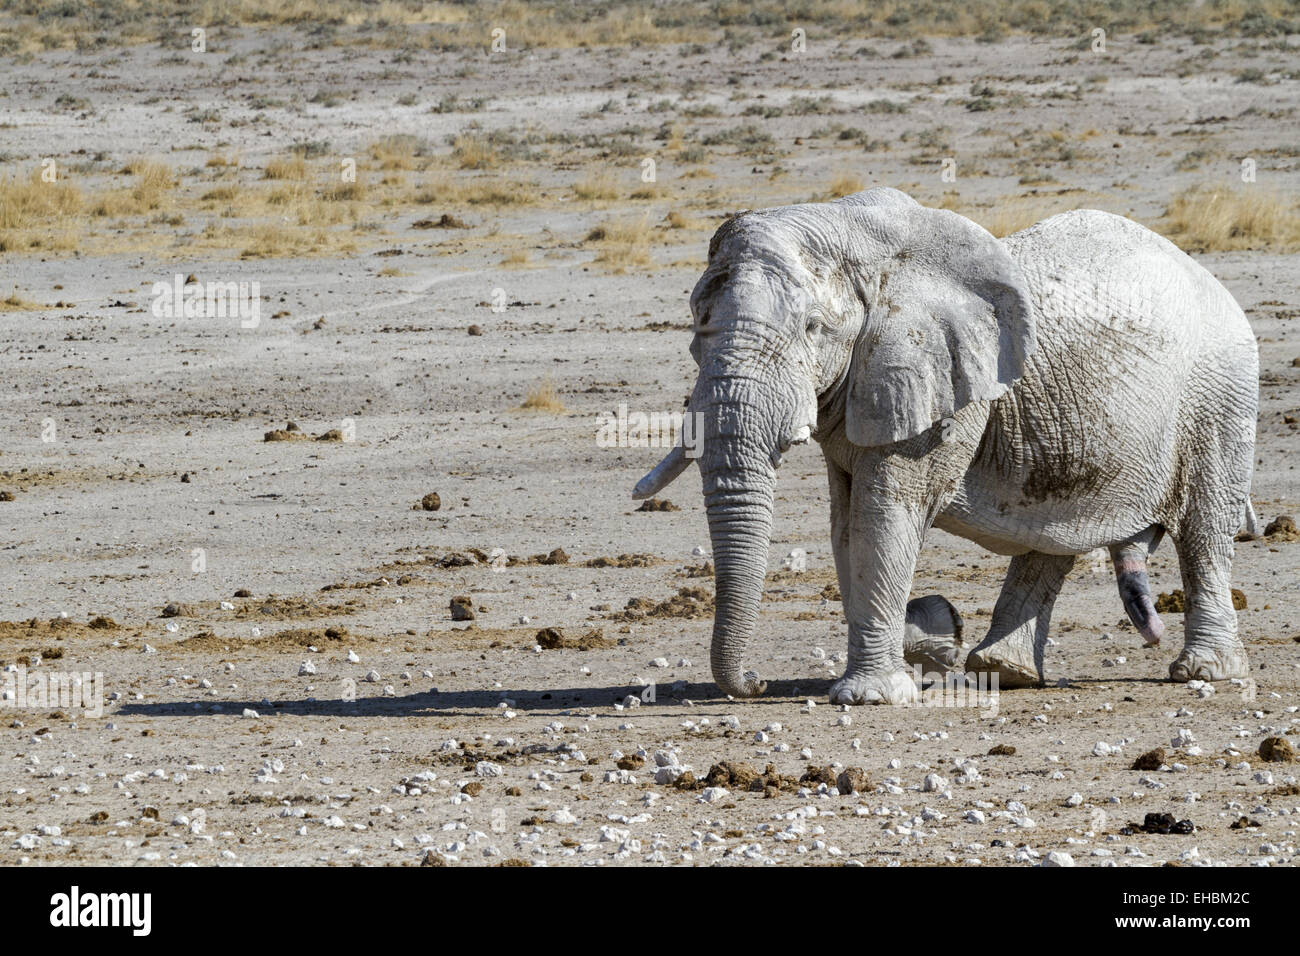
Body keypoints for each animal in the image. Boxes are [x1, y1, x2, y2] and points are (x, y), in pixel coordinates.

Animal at [632, 187, 1259, 704]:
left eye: (813, 328)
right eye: (695, 326)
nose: (756, 682)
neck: (845, 230)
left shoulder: (938, 383)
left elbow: (882, 514)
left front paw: (873, 695)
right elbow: (846, 523)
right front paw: (932, 636)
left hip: (1220, 394)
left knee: (1204, 530)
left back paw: (1204, 672)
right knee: (1056, 535)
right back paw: (1002, 671)